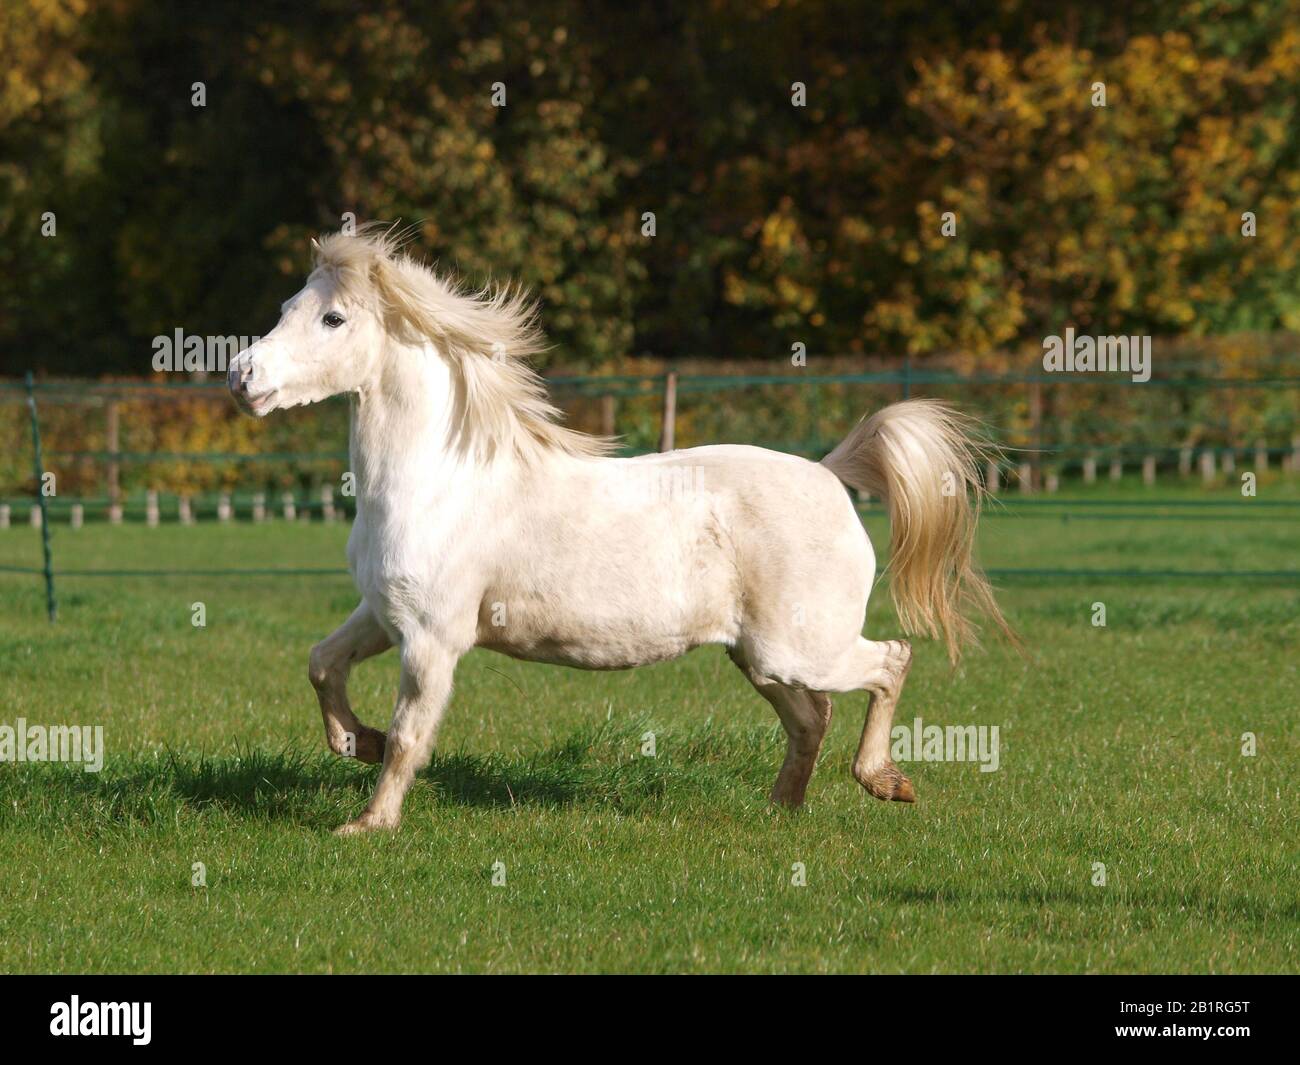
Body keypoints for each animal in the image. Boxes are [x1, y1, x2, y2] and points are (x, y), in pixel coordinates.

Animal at [227, 226, 1014, 835]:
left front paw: (368, 822)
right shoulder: (382, 613)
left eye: (332, 319)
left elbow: (411, 736)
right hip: (760, 657)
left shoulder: (431, 637)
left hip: (802, 647)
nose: (241, 376)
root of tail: (830, 474)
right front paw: (355, 739)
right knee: (811, 716)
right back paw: (781, 808)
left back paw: (884, 780)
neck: (441, 479)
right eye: (288, 306)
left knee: (891, 661)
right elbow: (322, 664)